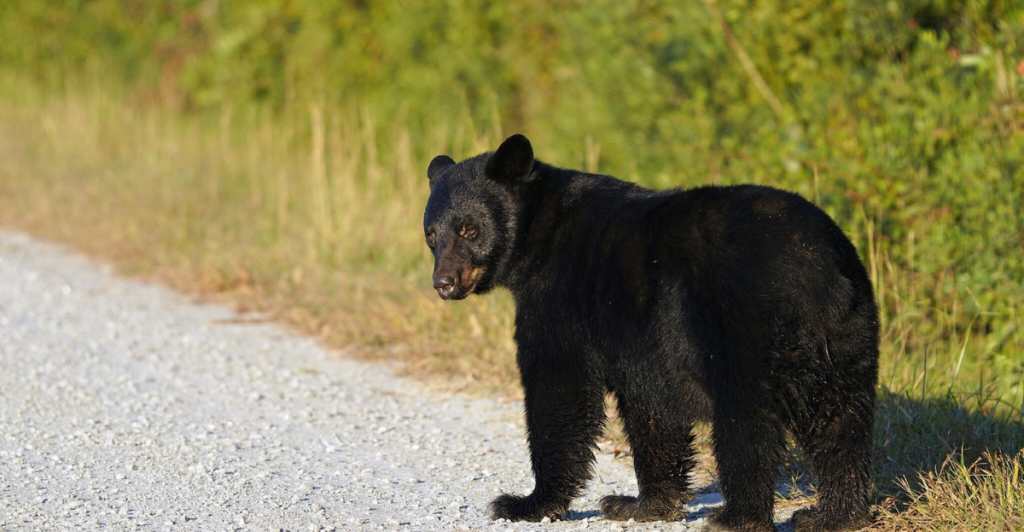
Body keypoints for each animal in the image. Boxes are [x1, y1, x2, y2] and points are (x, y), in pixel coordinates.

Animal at [422, 134, 878, 532]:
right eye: (431, 234)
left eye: (469, 229)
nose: (443, 282)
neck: (541, 236)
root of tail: (814, 267)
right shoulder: (646, 343)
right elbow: (652, 408)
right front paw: (641, 504)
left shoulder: (560, 298)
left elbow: (559, 387)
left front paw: (527, 503)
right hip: (847, 337)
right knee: (841, 423)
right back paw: (833, 515)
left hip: (745, 328)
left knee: (747, 422)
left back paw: (737, 517)